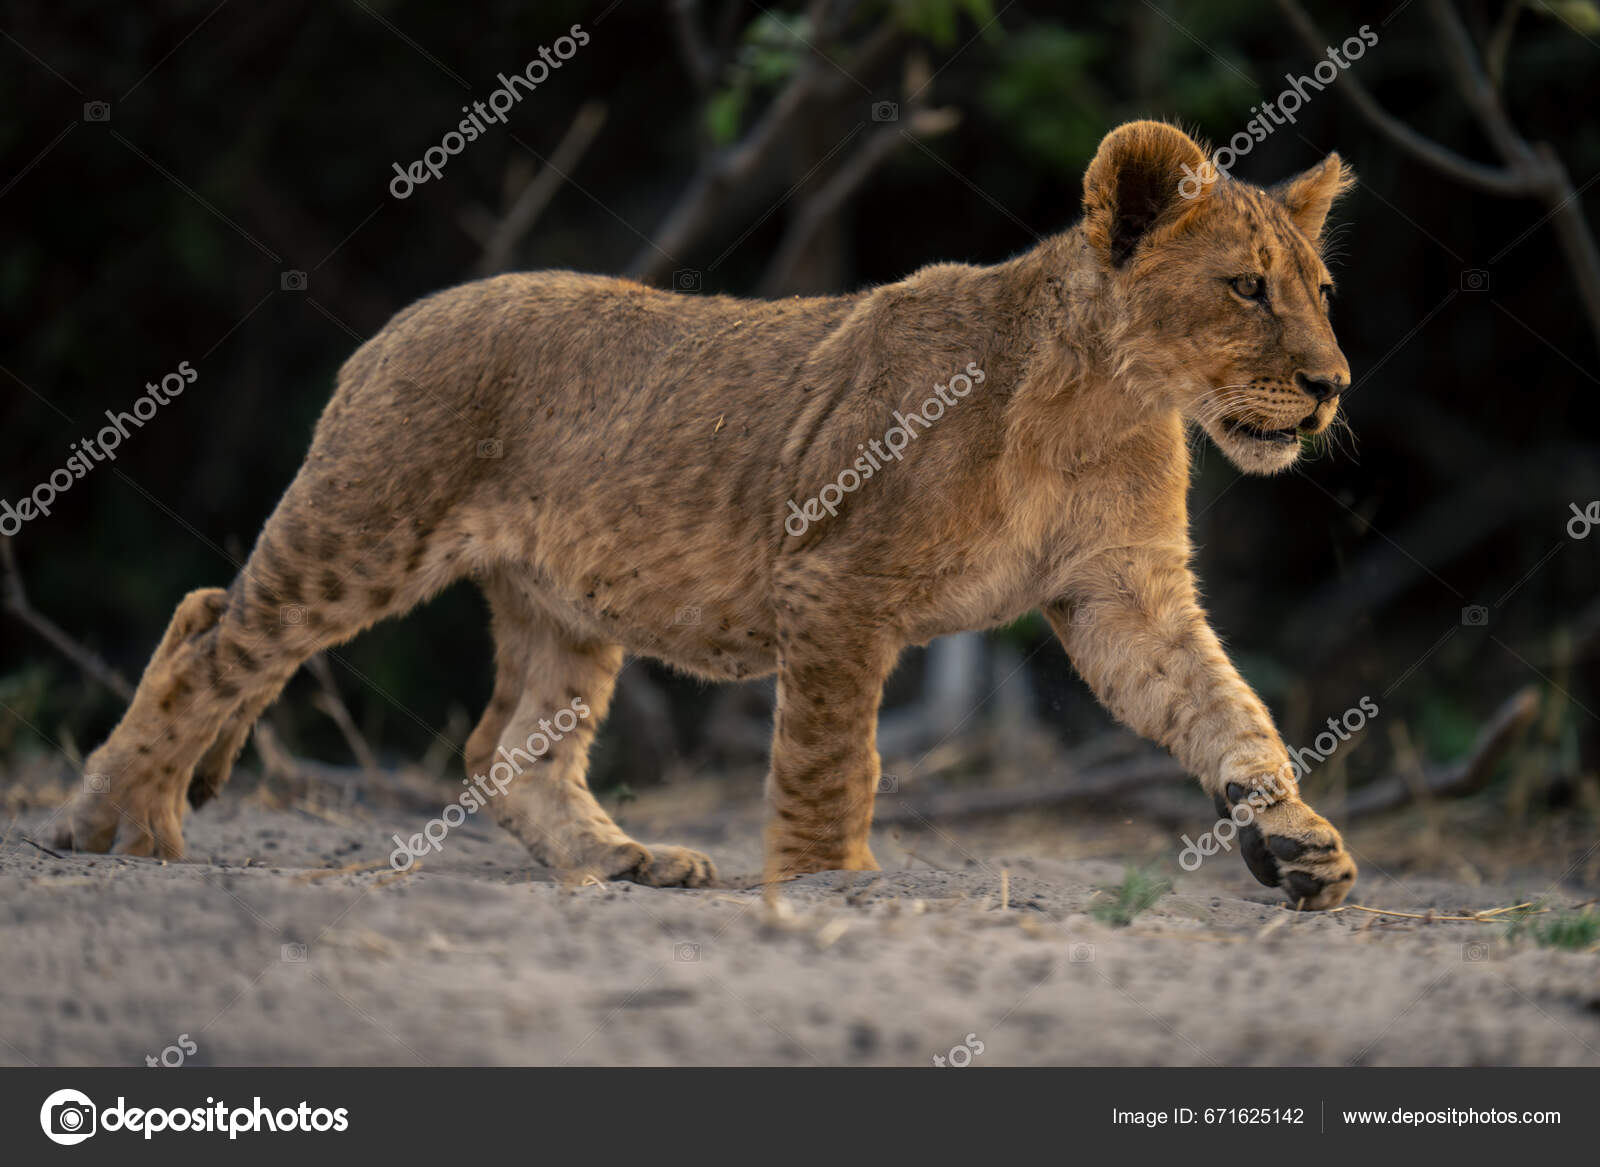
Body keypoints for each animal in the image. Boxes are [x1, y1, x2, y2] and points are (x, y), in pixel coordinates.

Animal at [55, 120, 1358, 909]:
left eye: (1321, 290)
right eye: (1246, 289)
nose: (1333, 384)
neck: (1103, 404)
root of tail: (404, 319)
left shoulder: (1120, 594)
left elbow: (1222, 709)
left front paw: (1292, 834)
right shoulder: (835, 581)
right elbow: (833, 756)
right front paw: (828, 881)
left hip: (561, 604)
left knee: (505, 749)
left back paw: (623, 861)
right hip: (363, 532)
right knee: (210, 632)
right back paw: (115, 821)